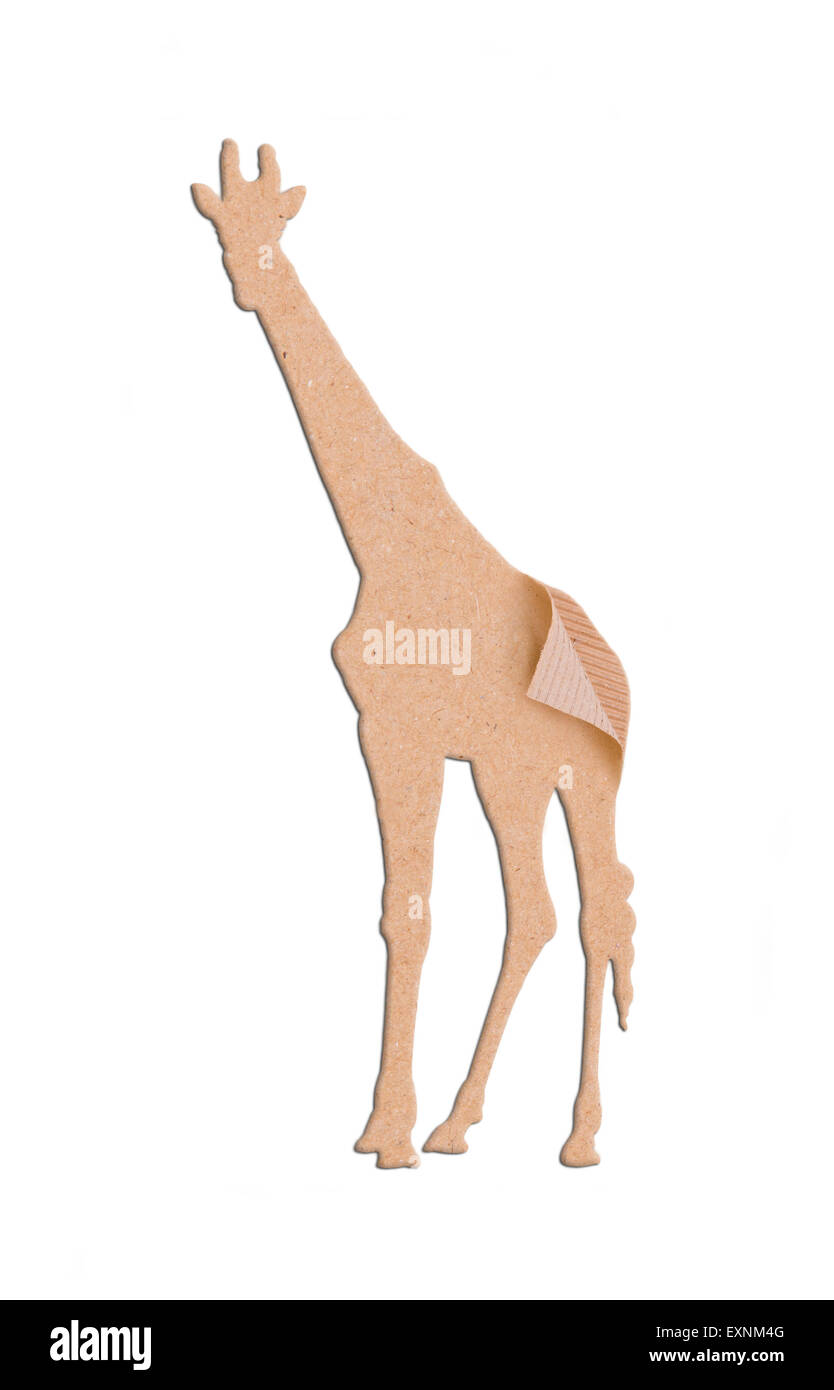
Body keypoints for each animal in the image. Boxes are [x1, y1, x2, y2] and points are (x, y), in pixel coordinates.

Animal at [192, 141, 635, 1169]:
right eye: (223, 228)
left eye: (276, 234)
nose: (246, 285)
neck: (386, 542)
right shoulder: (397, 734)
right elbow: (402, 907)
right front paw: (388, 1127)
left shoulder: (399, 732)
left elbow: (415, 914)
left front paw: (387, 1132)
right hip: (516, 774)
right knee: (544, 913)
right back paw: (464, 1124)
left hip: (582, 778)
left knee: (596, 915)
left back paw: (578, 1140)